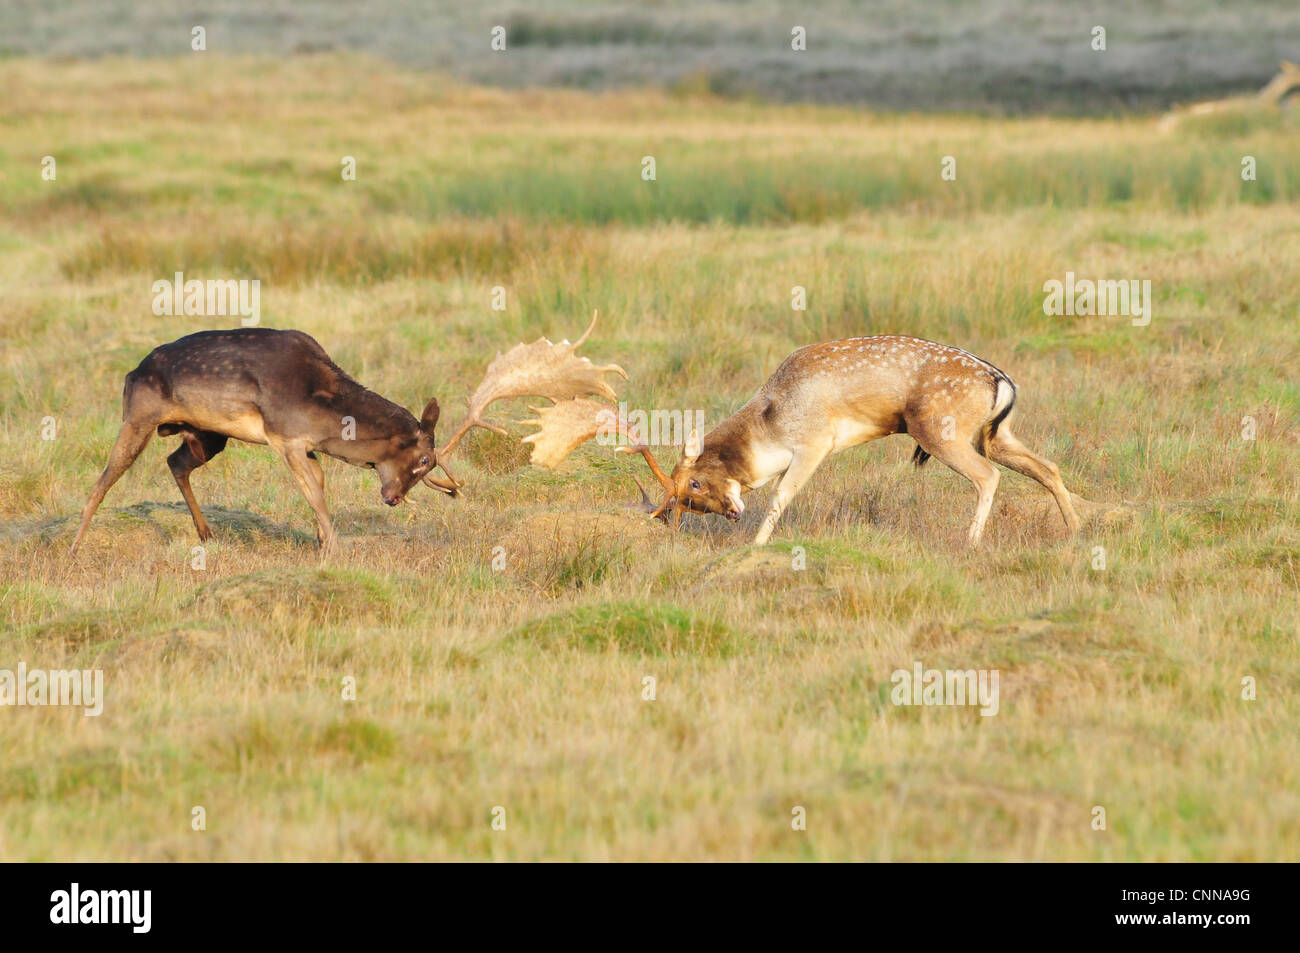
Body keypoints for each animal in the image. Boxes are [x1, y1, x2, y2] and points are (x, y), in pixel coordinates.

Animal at [70, 317, 627, 557]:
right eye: (422, 461)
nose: (394, 497)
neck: (326, 407)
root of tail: (130, 372)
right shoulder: (286, 437)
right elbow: (316, 494)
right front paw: (334, 548)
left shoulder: (306, 446)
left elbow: (320, 489)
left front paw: (322, 544)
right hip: (138, 417)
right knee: (102, 481)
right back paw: (75, 546)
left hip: (207, 435)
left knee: (176, 463)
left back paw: (207, 534)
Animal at [620, 335, 1082, 546]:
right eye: (687, 500)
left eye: (695, 483)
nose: (732, 514)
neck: (772, 418)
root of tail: (1001, 380)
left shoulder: (814, 444)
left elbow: (781, 496)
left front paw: (756, 545)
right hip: (994, 435)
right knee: (1048, 466)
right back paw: (1076, 529)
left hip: (940, 432)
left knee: (987, 476)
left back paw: (969, 542)